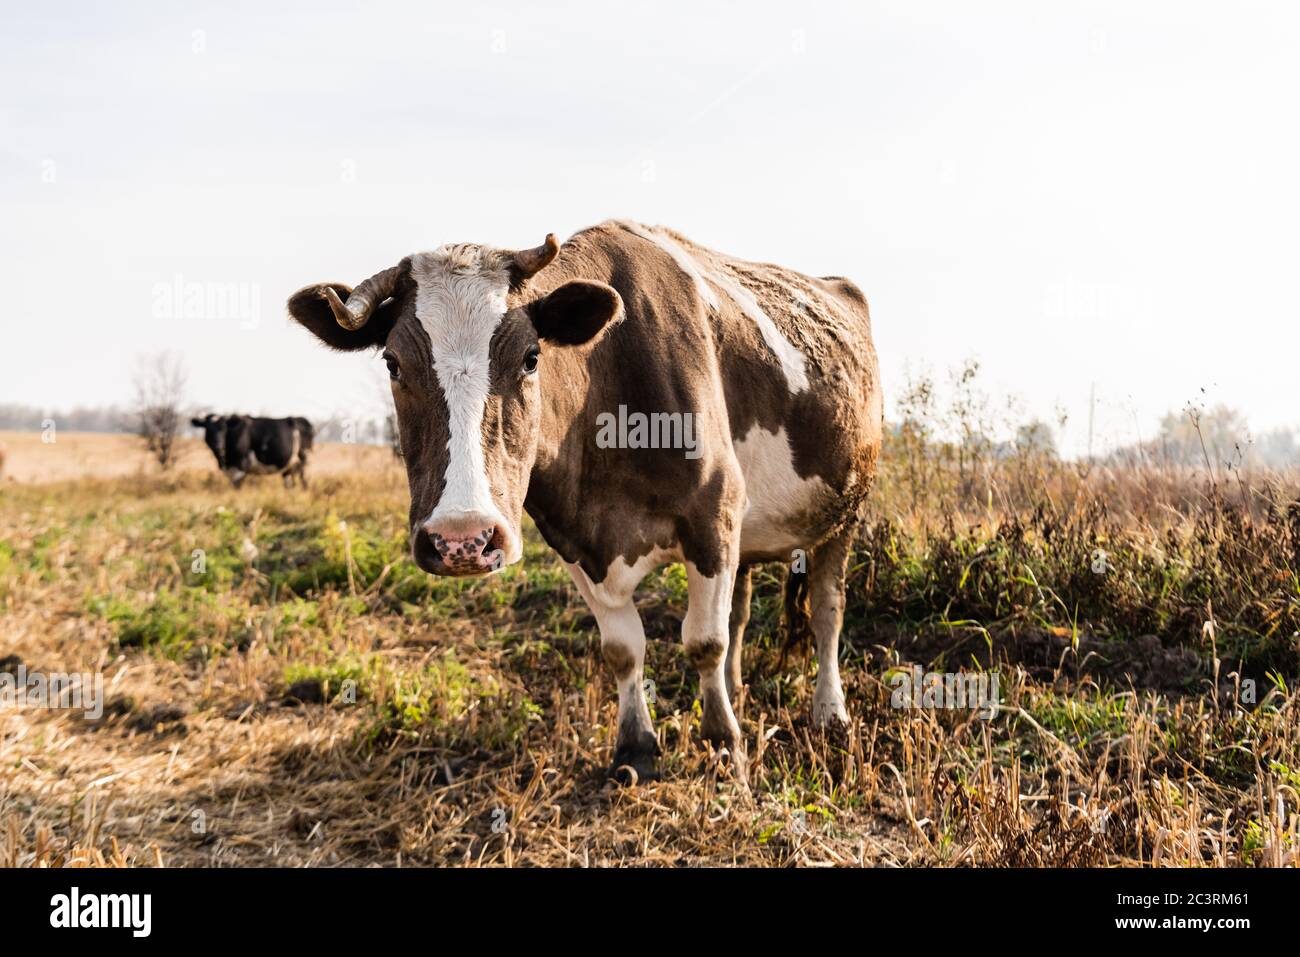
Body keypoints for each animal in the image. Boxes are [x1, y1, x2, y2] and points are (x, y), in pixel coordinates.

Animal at [287, 221, 882, 783]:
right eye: (392, 363)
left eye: (530, 358)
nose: (462, 539)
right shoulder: (572, 537)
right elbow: (623, 649)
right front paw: (637, 748)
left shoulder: (713, 514)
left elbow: (703, 641)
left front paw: (724, 747)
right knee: (740, 609)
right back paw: (738, 689)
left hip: (847, 511)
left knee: (826, 610)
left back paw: (829, 712)